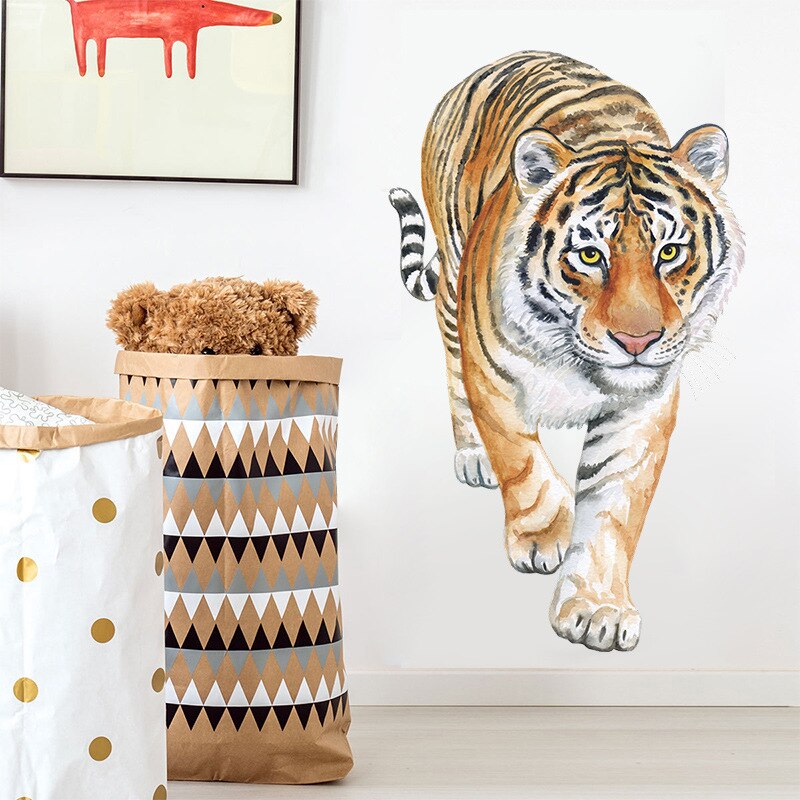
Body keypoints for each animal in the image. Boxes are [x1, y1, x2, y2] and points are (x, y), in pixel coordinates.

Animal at [389, 51, 743, 652]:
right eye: (590, 255)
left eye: (670, 252)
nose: (637, 340)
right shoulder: (493, 376)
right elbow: (522, 463)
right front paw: (541, 536)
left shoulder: (642, 406)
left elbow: (613, 507)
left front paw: (598, 608)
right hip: (454, 284)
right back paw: (473, 456)